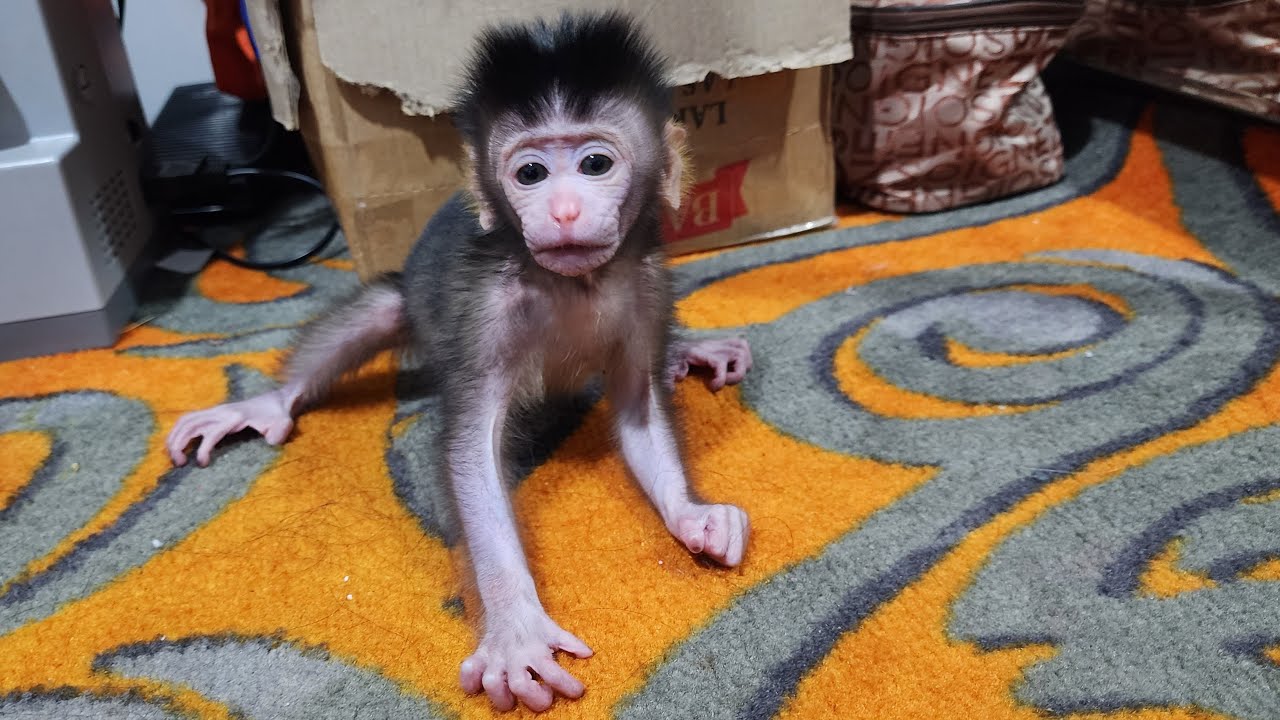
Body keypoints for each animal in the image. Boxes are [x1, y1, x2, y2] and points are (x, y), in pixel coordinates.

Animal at [165, 11, 752, 713]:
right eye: (530, 174)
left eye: (595, 163)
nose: (563, 210)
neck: (572, 284)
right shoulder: (486, 311)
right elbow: (471, 447)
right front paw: (514, 629)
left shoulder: (647, 288)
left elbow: (638, 408)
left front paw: (692, 515)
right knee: (377, 313)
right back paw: (265, 403)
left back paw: (690, 352)